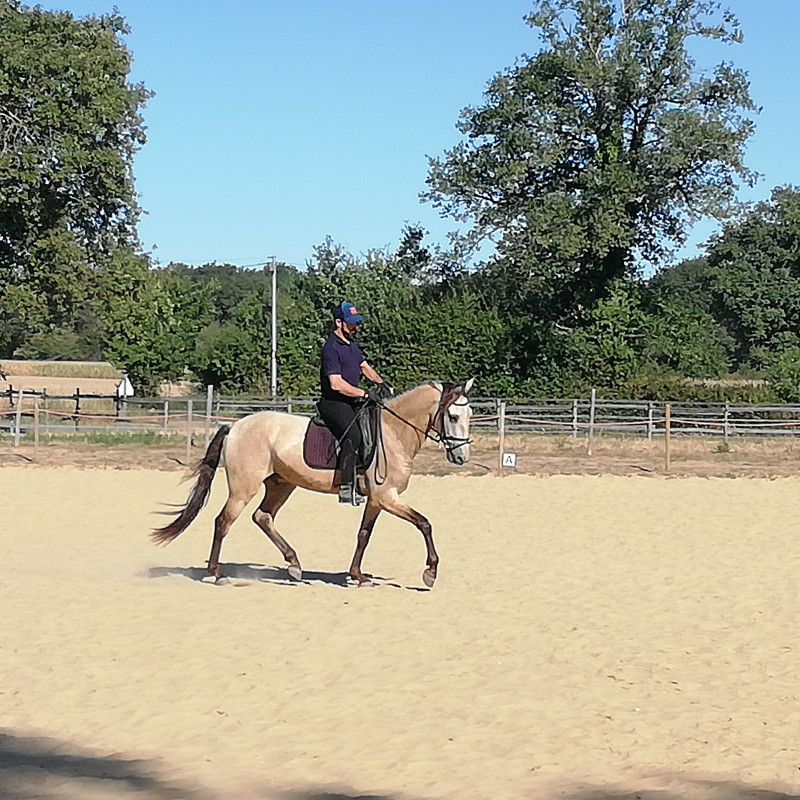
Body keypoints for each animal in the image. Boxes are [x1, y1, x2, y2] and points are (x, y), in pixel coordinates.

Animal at [151, 378, 474, 588]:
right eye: (453, 415)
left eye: (470, 414)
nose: (462, 456)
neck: (393, 432)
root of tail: (236, 426)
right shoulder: (387, 497)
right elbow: (424, 523)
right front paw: (430, 572)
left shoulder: (376, 500)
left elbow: (364, 535)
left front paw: (357, 576)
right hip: (244, 487)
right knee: (224, 521)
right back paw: (215, 573)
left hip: (281, 484)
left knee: (262, 517)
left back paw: (294, 565)